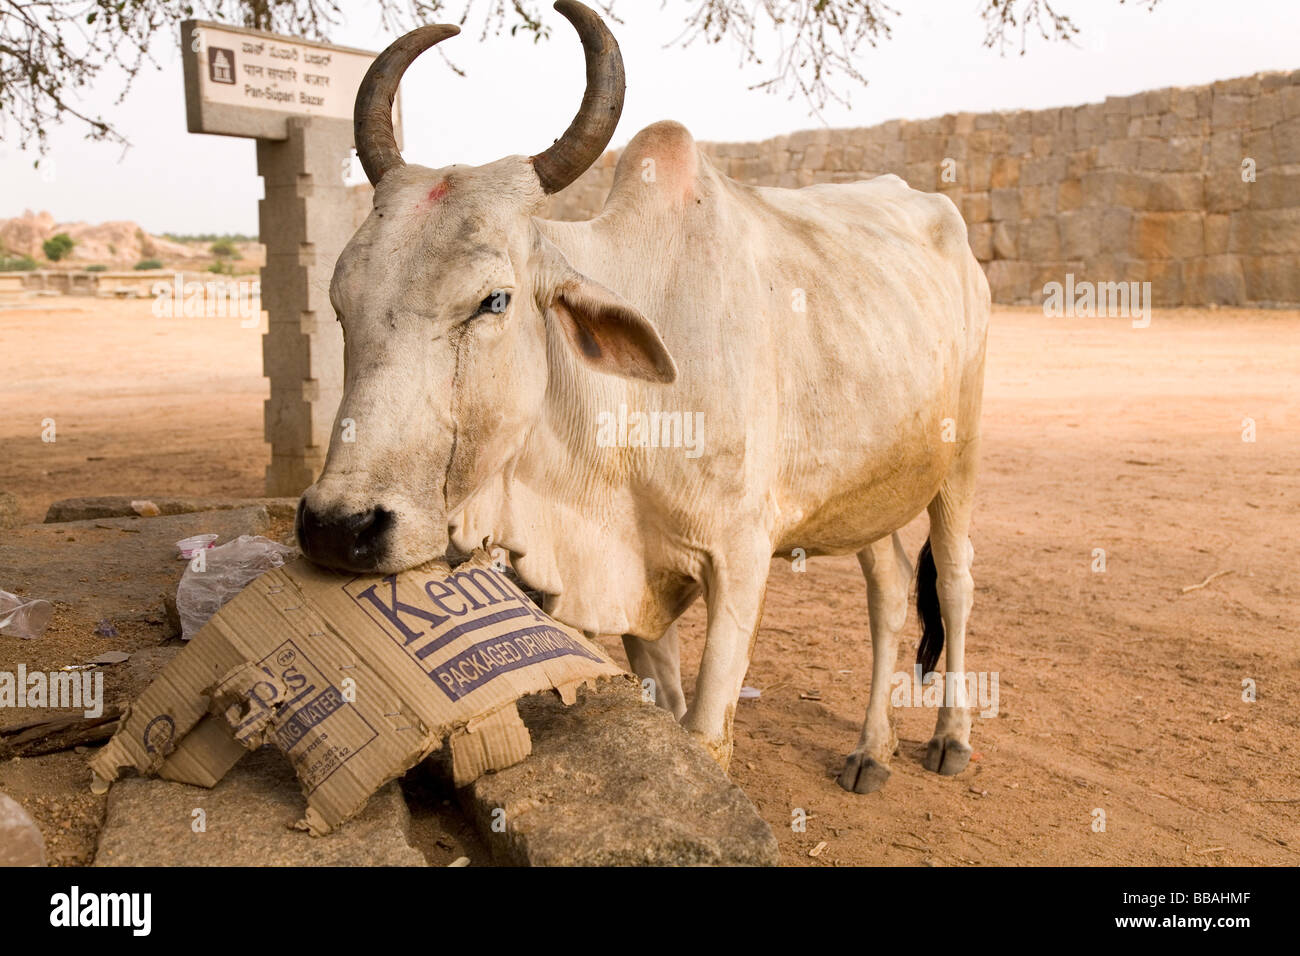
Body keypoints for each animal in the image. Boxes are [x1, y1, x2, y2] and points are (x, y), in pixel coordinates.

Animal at [296, 0, 990, 793]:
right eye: (340, 302)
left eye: (494, 299)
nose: (338, 527)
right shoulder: (638, 580)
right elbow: (669, 713)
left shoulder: (740, 556)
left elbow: (707, 735)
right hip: (869, 485)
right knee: (889, 590)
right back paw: (871, 749)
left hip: (960, 458)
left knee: (956, 583)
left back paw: (951, 737)